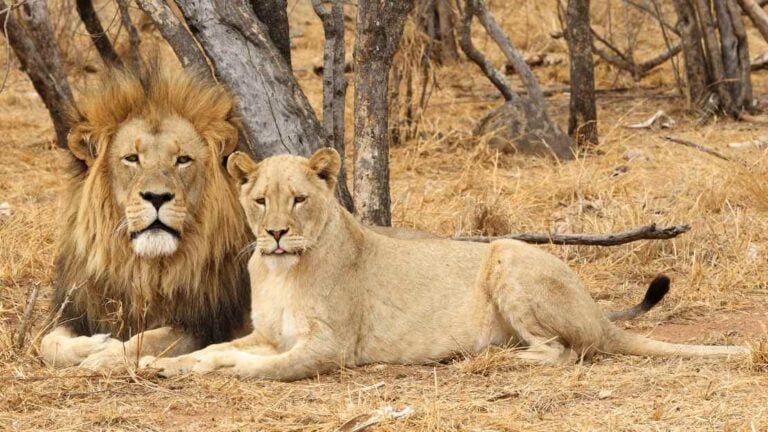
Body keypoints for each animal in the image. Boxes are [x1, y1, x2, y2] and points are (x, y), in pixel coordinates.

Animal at [39, 66, 252, 369]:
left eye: (183, 160)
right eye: (132, 158)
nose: (157, 197)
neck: (143, 269)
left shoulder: (201, 327)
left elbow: (147, 340)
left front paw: (104, 355)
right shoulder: (80, 311)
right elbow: (49, 343)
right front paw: (93, 345)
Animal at [139, 148, 748, 380]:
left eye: (299, 199)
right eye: (261, 200)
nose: (276, 234)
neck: (282, 270)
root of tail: (597, 312)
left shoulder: (329, 347)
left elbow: (255, 367)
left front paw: (216, 371)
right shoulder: (269, 334)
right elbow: (216, 348)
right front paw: (162, 364)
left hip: (506, 252)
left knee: (562, 352)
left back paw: (488, 357)